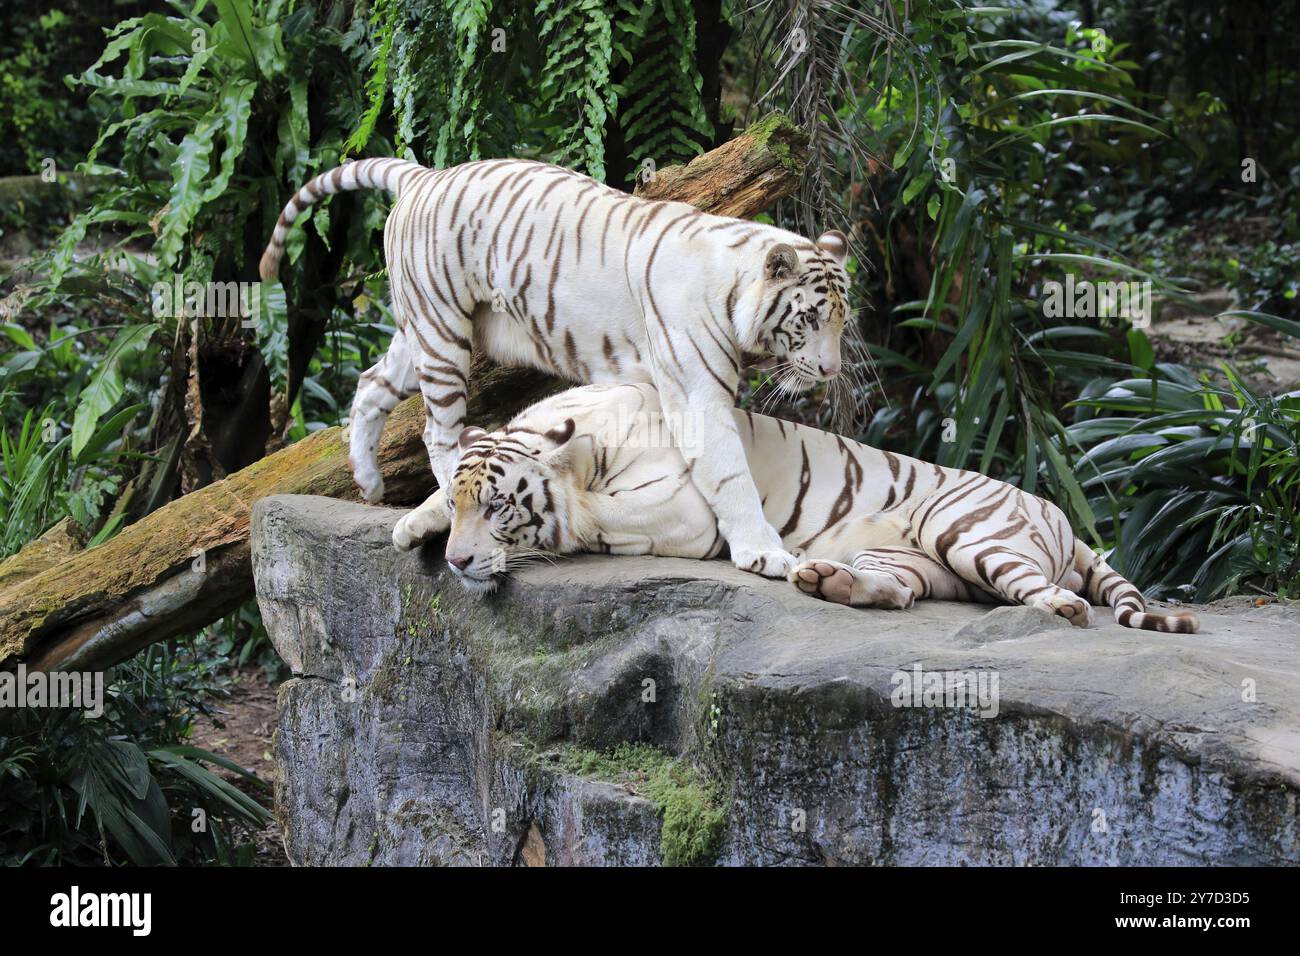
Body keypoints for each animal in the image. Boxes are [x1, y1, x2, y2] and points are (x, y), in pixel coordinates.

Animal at [259, 157, 851, 580]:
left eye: (843, 321)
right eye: (809, 318)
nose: (829, 371)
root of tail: (425, 174)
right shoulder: (696, 392)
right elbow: (729, 473)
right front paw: (765, 553)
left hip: (421, 331)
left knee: (369, 384)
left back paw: (368, 482)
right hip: (442, 332)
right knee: (437, 431)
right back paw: (445, 493)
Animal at [389, 382, 1199, 633]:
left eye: (501, 508)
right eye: (466, 505)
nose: (456, 562)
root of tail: (1060, 513)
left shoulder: (681, 510)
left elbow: (595, 519)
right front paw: (408, 522)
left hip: (965, 530)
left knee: (1051, 592)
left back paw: (1062, 608)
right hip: (909, 558)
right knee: (898, 594)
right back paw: (823, 578)